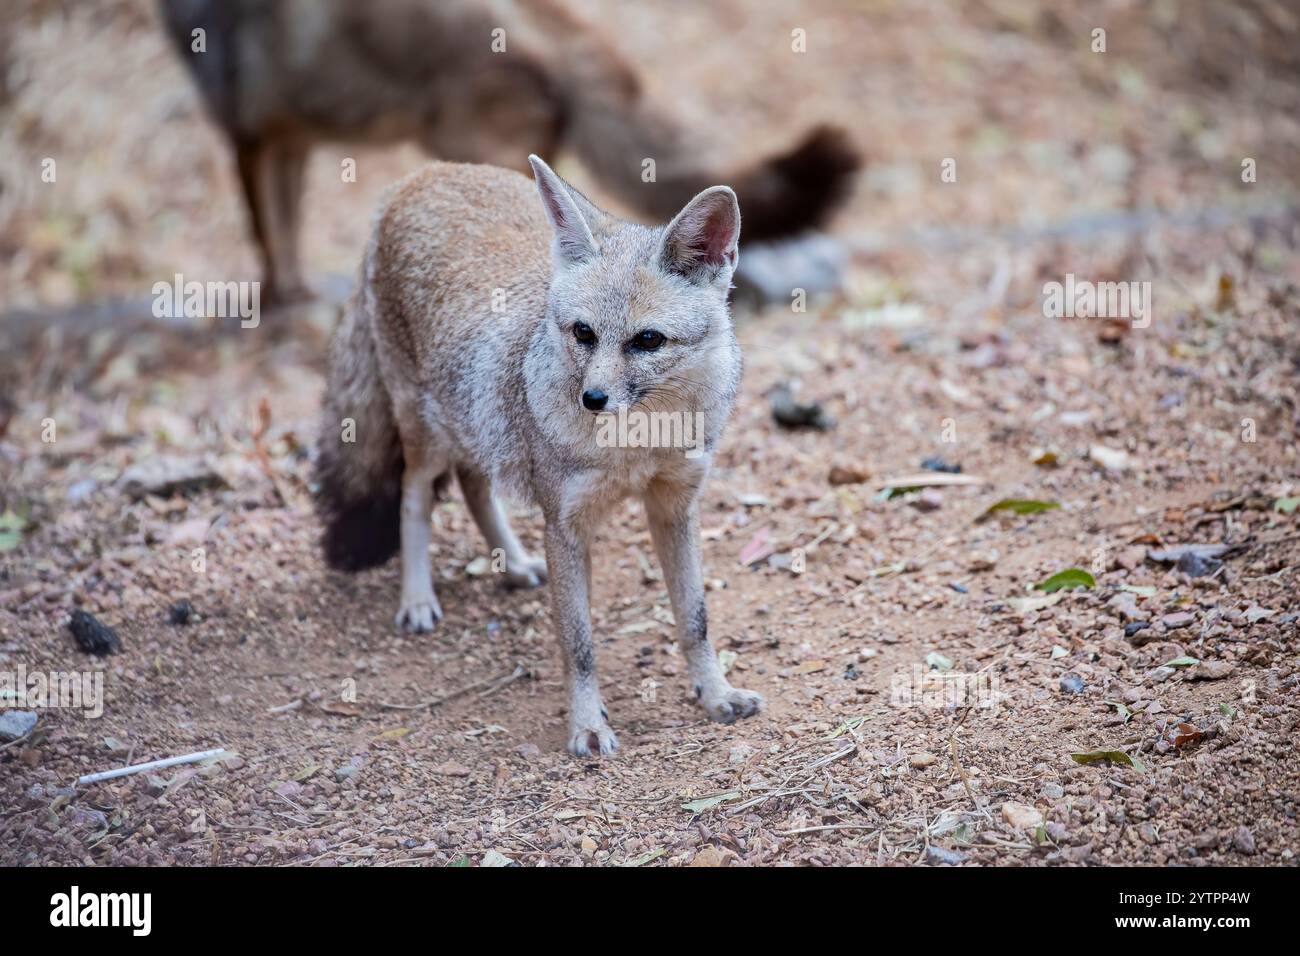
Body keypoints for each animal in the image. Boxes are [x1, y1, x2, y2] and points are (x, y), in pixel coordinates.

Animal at [157, 0, 858, 306]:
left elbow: (267, 237)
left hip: (469, 153)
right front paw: (295, 296)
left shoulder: (249, 139)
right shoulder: (288, 142)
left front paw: (277, 305)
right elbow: (287, 235)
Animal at [314, 155, 762, 755]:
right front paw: (588, 725)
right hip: (426, 434)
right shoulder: (565, 524)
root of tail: (421, 175)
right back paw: (417, 596)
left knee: (475, 485)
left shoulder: (675, 507)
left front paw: (715, 694)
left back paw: (515, 562)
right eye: (583, 333)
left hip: (479, 422)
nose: (592, 398)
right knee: (414, 497)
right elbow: (578, 644)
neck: (639, 442)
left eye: (647, 340)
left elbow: (695, 620)